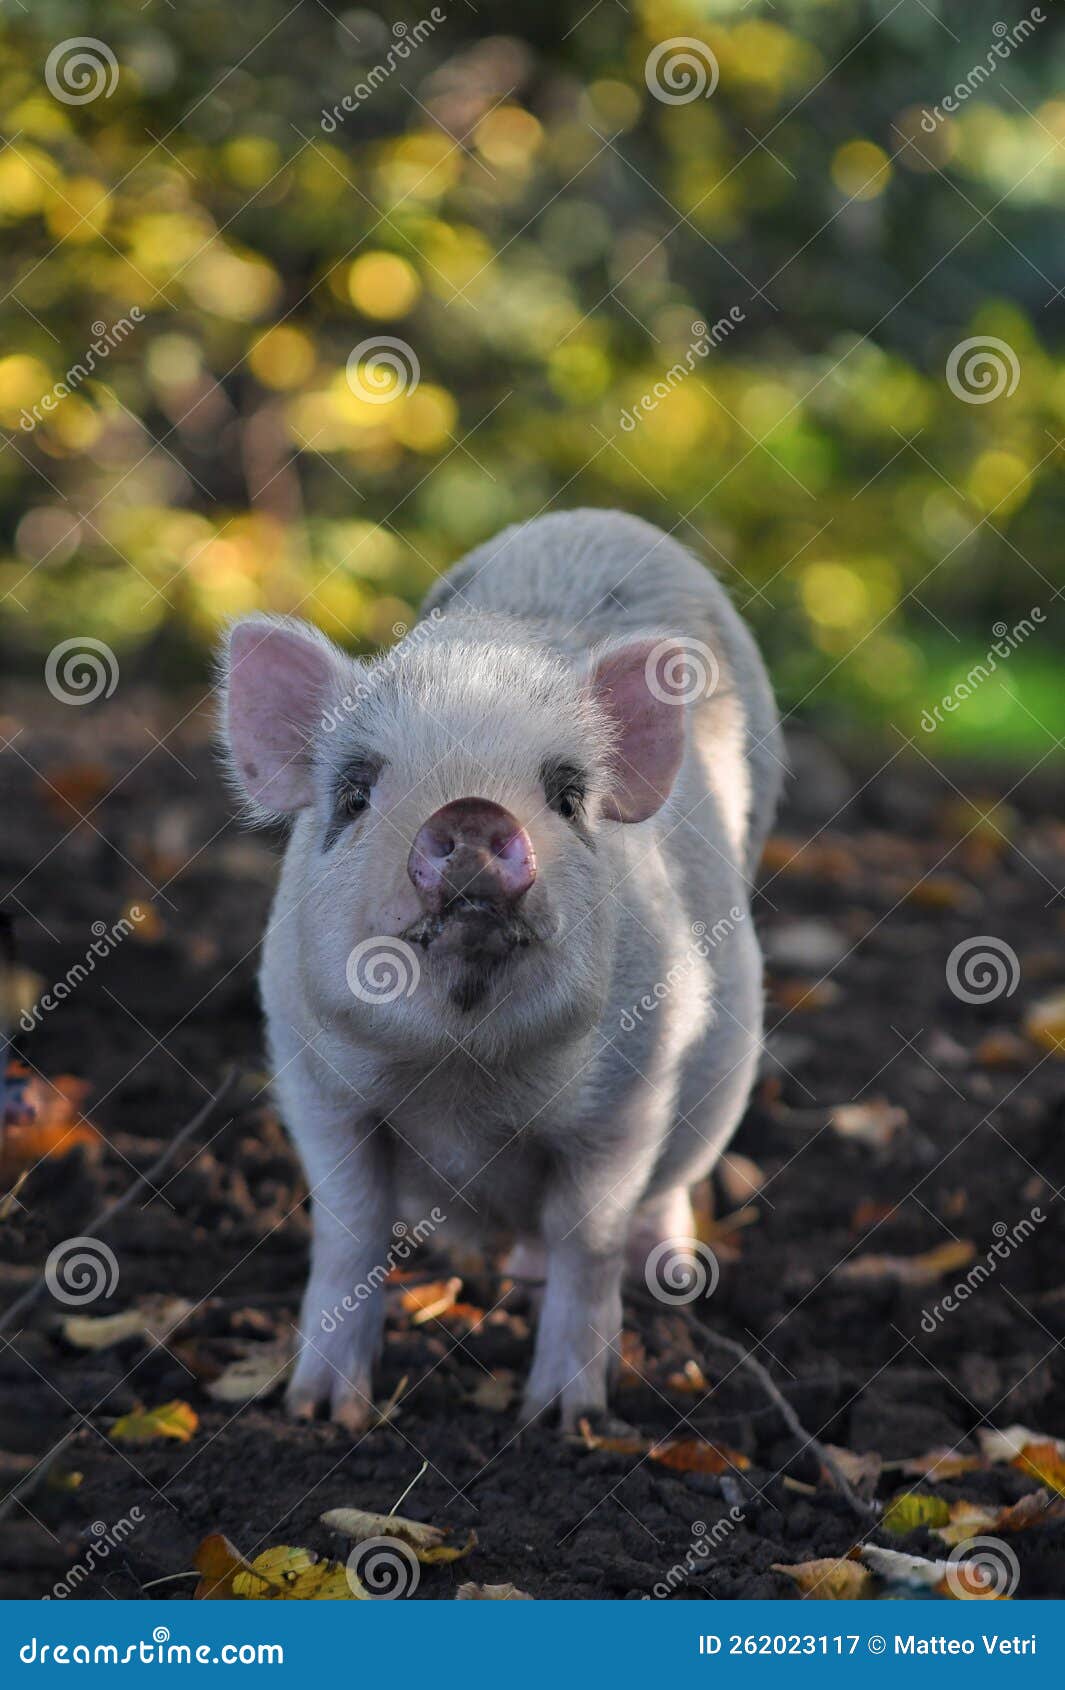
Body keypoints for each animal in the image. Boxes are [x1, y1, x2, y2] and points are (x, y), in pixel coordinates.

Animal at [220, 508, 782, 1433]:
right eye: (354, 793)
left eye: (567, 797)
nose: (475, 812)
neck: (464, 1074)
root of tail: (601, 518)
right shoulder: (314, 1077)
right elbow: (350, 1227)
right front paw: (320, 1413)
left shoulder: (630, 1095)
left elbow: (588, 1237)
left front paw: (562, 1422)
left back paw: (660, 1273)